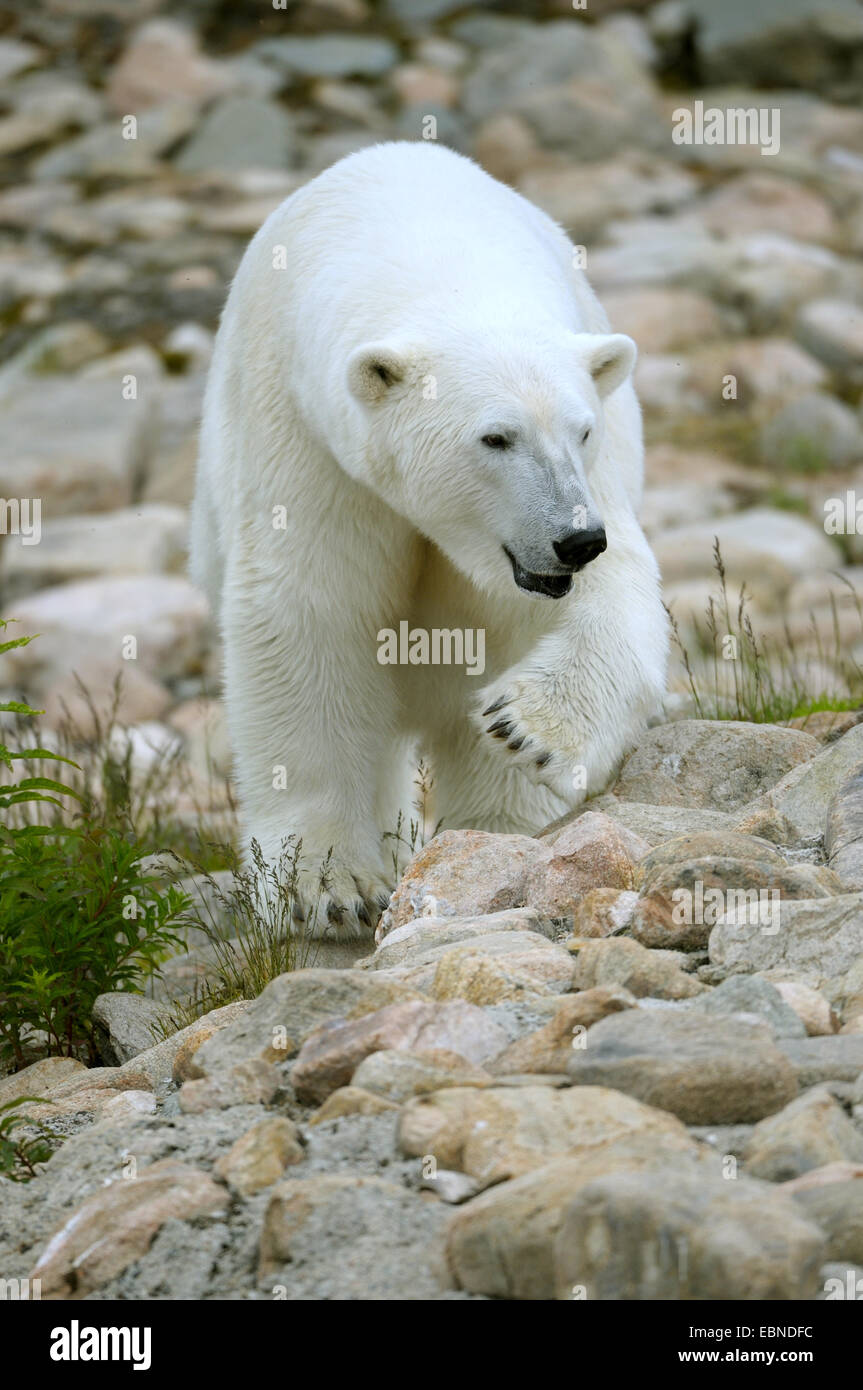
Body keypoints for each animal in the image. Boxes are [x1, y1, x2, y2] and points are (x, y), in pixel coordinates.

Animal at [190, 140, 669, 936]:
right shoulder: (303, 434)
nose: (574, 541)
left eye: (581, 428)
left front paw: (524, 729)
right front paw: (329, 886)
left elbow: (607, 599)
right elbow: (308, 612)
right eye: (495, 437)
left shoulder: (586, 493)